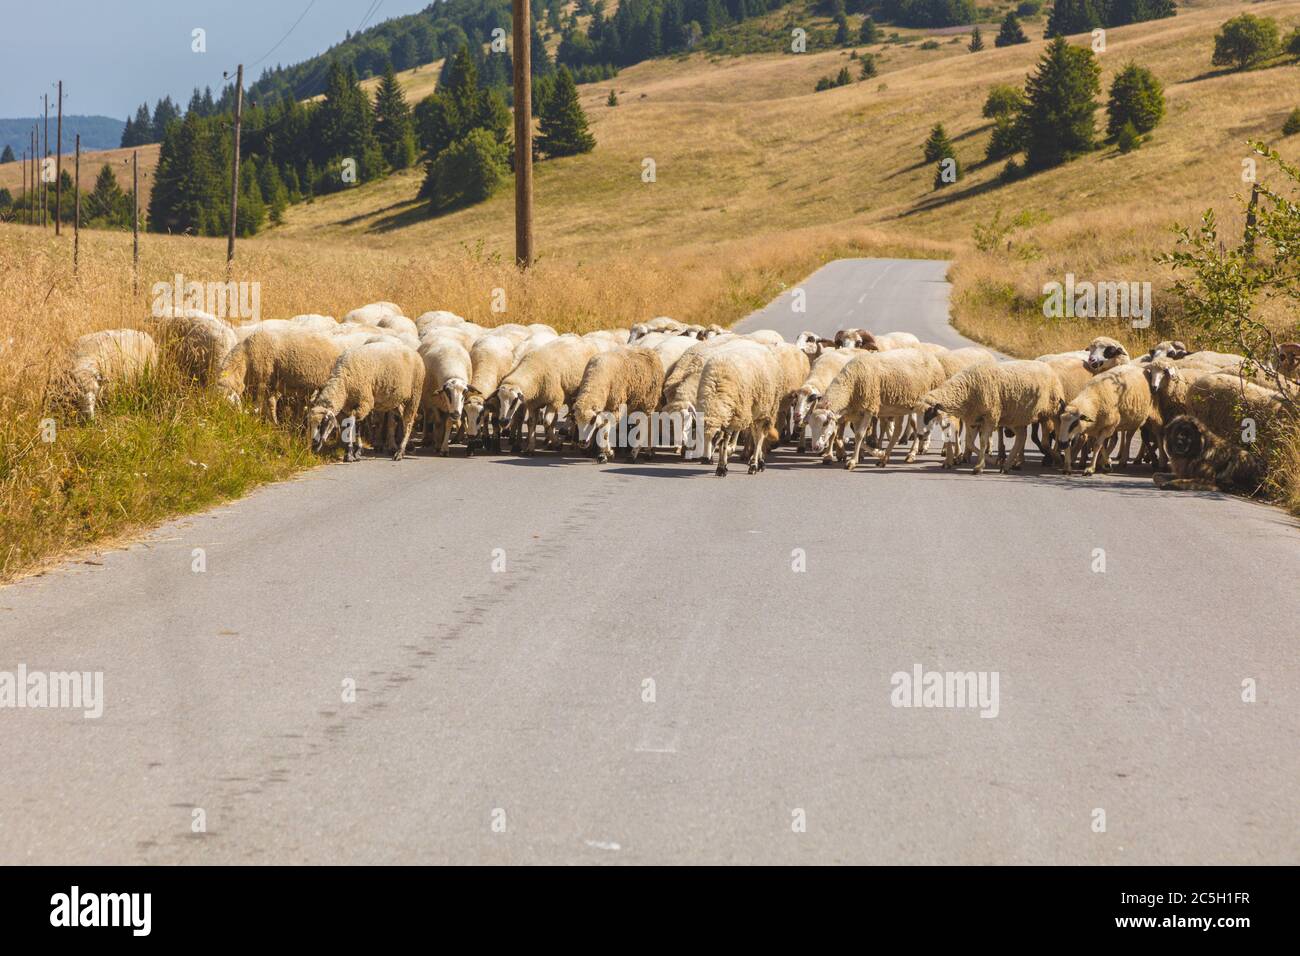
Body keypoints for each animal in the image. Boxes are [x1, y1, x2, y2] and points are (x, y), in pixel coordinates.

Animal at [696, 342, 783, 476]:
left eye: (715, 436)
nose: (704, 459)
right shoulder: (728, 418)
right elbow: (724, 442)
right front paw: (722, 466)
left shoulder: (732, 417)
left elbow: (724, 443)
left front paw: (722, 467)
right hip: (753, 411)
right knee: (755, 435)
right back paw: (759, 462)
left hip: (766, 409)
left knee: (760, 437)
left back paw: (754, 465)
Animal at [808, 349, 944, 469]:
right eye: (810, 425)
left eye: (825, 423)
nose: (815, 447)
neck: (851, 382)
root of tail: (930, 356)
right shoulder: (857, 413)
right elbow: (858, 436)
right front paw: (879, 453)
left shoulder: (869, 408)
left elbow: (859, 435)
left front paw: (852, 462)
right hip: (899, 408)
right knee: (898, 431)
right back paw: (884, 459)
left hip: (921, 405)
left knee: (915, 426)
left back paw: (912, 454)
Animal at [919, 360, 1064, 474]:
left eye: (928, 414)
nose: (920, 436)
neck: (967, 389)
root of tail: (1047, 366)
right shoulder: (974, 419)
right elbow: (970, 443)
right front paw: (992, 461)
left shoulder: (991, 417)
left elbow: (983, 441)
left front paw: (979, 467)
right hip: (1016, 416)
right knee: (1021, 437)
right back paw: (1006, 466)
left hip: (1053, 408)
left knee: (1058, 428)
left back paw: (1059, 458)